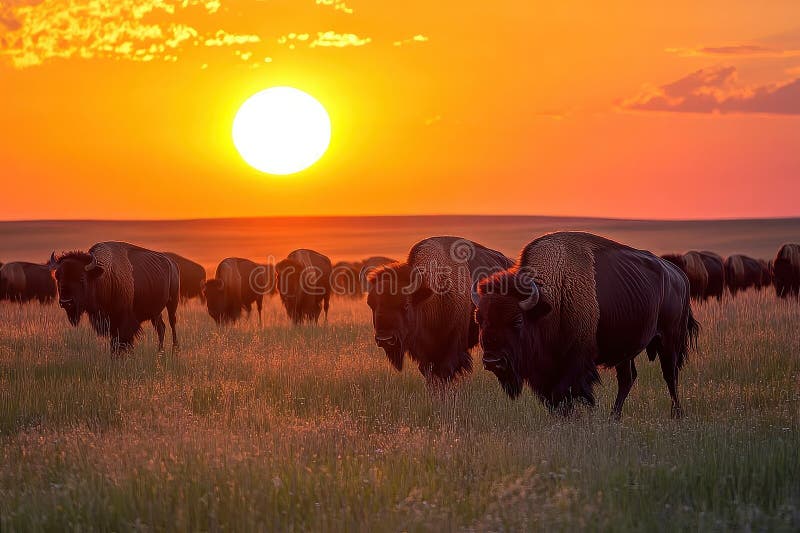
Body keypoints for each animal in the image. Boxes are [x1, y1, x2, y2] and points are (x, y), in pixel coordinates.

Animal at [49, 242, 179, 353]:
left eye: (82, 278)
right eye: (57, 277)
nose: (66, 302)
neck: (103, 277)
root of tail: (172, 264)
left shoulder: (124, 321)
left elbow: (122, 342)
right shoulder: (110, 322)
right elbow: (115, 343)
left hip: (172, 302)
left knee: (172, 323)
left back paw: (174, 350)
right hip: (155, 312)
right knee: (161, 328)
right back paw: (160, 352)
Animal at [473, 232, 699, 418]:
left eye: (518, 320)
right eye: (480, 319)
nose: (492, 361)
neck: (553, 299)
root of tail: (679, 276)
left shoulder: (576, 362)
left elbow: (571, 393)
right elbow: (555, 398)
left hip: (669, 340)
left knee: (670, 375)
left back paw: (676, 414)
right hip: (626, 351)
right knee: (627, 379)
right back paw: (614, 417)